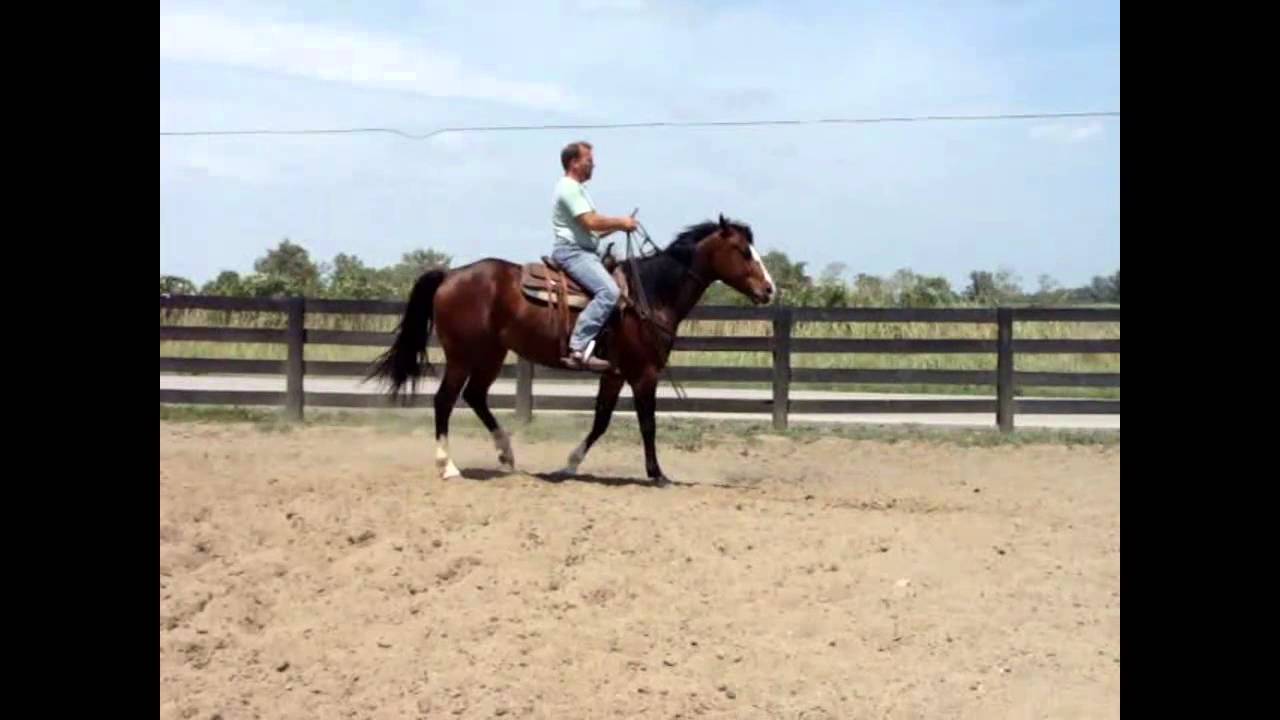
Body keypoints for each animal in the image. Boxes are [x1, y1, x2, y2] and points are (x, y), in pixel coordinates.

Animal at [368, 214, 776, 486]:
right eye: (743, 250)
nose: (769, 289)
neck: (650, 295)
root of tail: (450, 275)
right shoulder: (644, 375)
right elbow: (647, 424)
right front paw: (658, 474)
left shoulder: (614, 374)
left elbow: (601, 421)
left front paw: (569, 465)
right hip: (461, 356)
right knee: (445, 401)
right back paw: (448, 466)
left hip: (490, 355)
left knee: (476, 397)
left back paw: (506, 454)